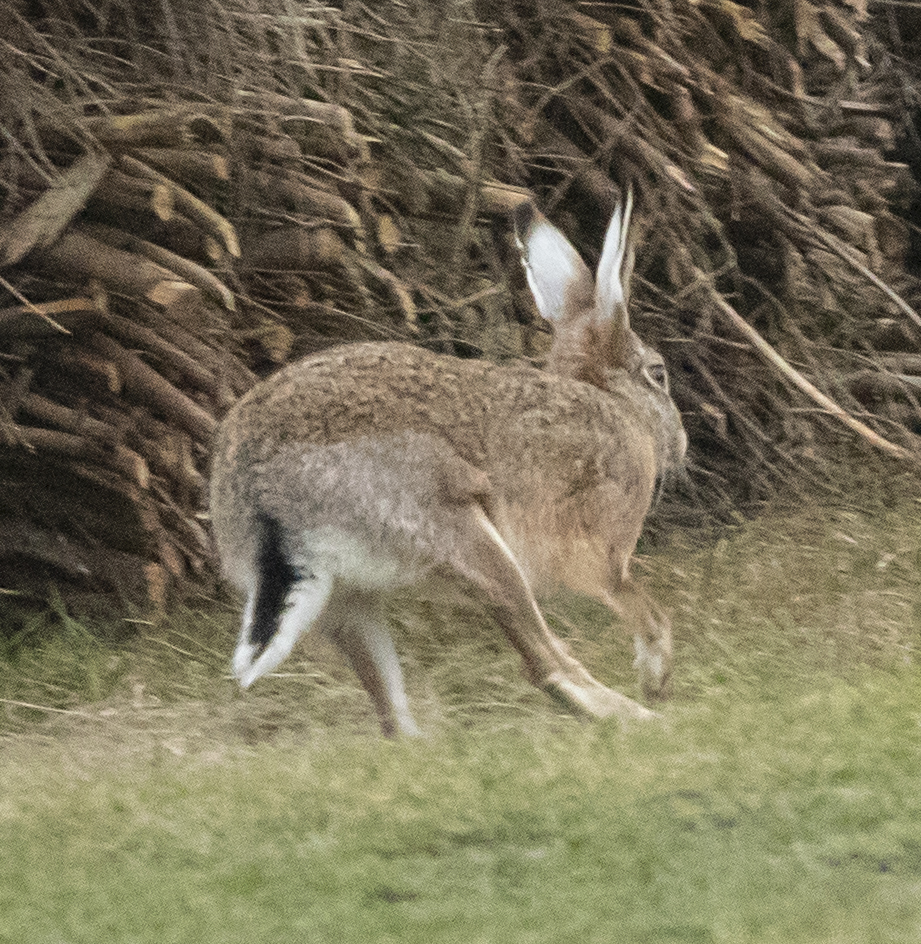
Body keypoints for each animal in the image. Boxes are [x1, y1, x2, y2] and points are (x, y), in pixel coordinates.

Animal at [209, 188, 687, 736]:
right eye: (658, 374)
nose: (682, 444)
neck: (613, 403)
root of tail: (265, 493)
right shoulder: (599, 555)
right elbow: (640, 606)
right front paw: (656, 676)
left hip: (346, 598)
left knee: (390, 711)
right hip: (467, 539)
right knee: (546, 665)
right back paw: (644, 718)